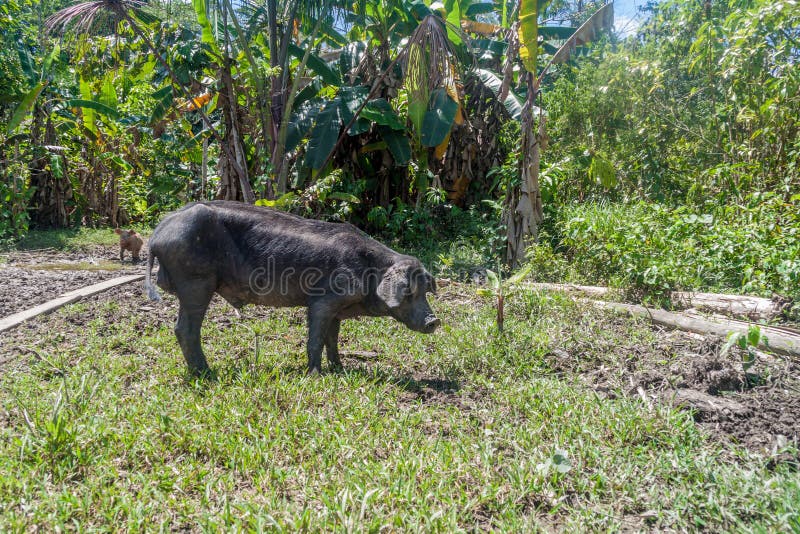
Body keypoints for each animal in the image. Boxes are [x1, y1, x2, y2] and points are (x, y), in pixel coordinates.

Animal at [145, 201, 440, 375]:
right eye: (409, 293)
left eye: (426, 291)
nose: (434, 321)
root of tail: (157, 233)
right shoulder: (322, 301)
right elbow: (315, 338)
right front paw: (315, 375)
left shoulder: (336, 309)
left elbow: (333, 339)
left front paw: (339, 369)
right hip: (195, 282)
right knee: (185, 329)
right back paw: (207, 374)